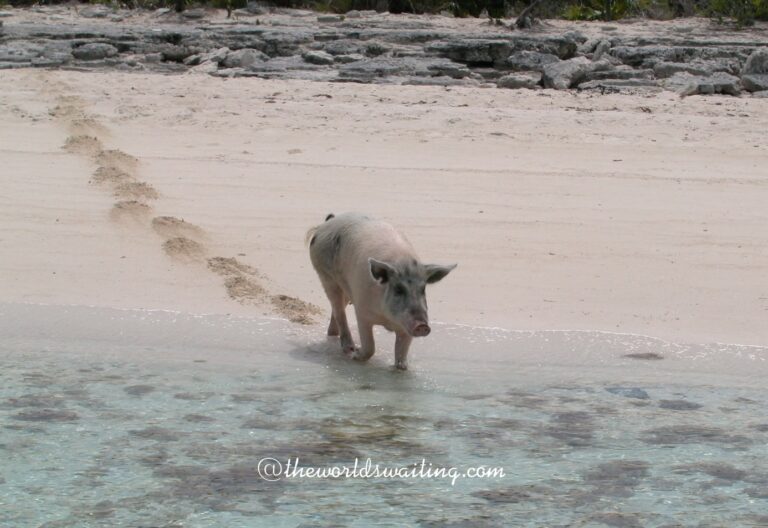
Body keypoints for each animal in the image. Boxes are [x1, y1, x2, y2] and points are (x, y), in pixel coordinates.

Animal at [306, 213, 456, 370]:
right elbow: (370, 347)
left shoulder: (405, 326)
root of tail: (326, 223)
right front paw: (355, 355)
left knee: (337, 311)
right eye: (398, 289)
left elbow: (401, 355)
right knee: (338, 309)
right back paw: (349, 349)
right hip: (325, 276)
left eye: (423, 289)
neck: (387, 319)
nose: (422, 326)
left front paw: (402, 367)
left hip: (346, 289)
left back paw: (333, 336)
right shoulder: (362, 312)